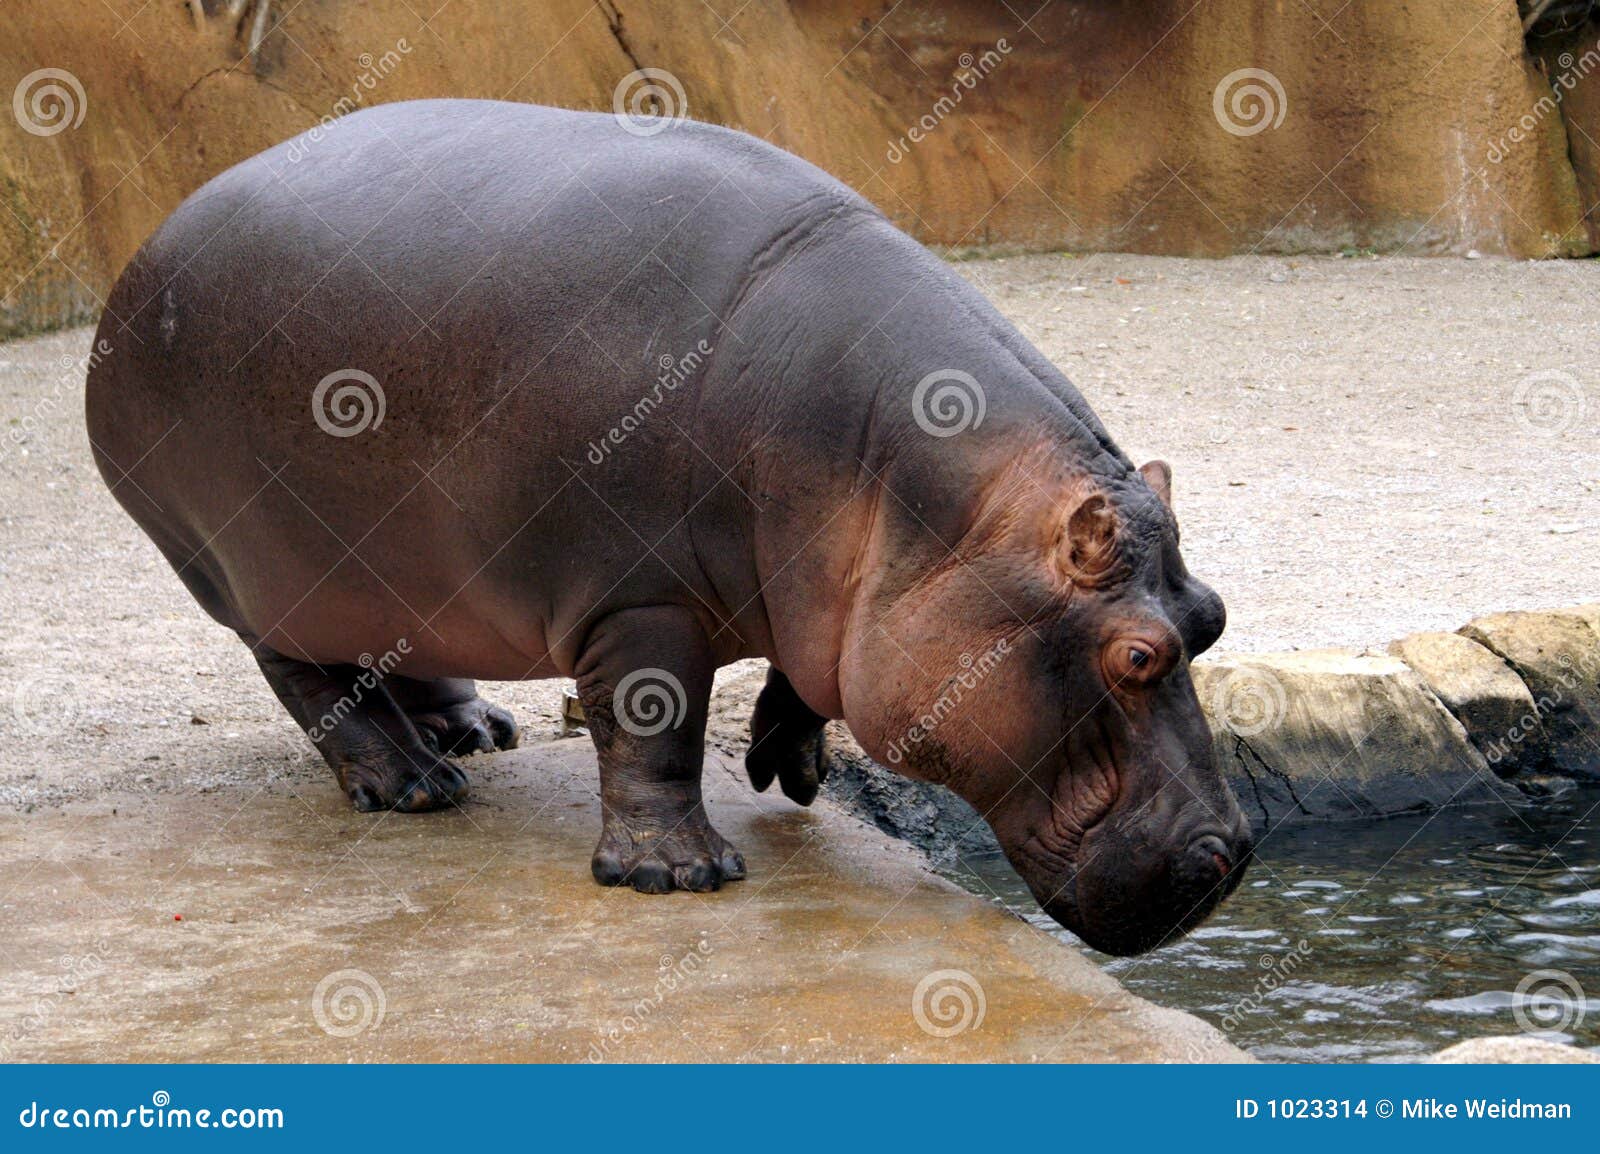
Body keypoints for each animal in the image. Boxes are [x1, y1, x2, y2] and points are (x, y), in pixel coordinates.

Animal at [86, 99, 1250, 956]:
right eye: (1136, 655)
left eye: (1212, 615)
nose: (1233, 856)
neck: (916, 494)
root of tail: (142, 258)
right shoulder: (636, 599)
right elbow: (656, 725)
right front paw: (677, 874)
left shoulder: (838, 594)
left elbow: (807, 667)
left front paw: (790, 766)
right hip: (249, 568)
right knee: (305, 675)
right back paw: (411, 784)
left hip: (394, 564)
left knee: (396, 646)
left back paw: (473, 731)